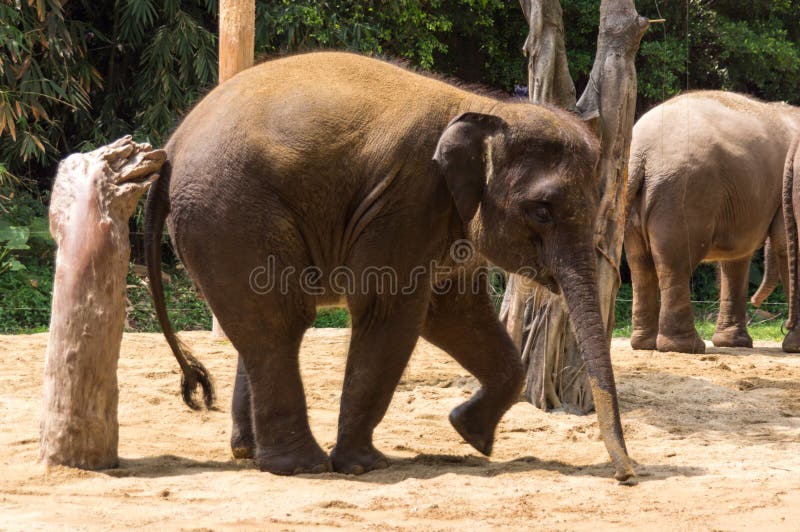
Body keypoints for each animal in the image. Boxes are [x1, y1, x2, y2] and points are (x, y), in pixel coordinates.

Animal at [144, 51, 635, 481]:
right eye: (542, 211)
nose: (627, 474)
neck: (489, 108)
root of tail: (171, 149)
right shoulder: (407, 200)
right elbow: (390, 312)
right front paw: (364, 466)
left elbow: (456, 313)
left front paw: (470, 435)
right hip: (232, 213)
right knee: (279, 320)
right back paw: (302, 466)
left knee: (262, 326)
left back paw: (248, 452)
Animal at [625, 91, 800, 354]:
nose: (756, 302)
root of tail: (640, 153)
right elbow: (783, 246)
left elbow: (737, 257)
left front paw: (733, 343)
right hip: (684, 195)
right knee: (674, 264)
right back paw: (686, 347)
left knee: (640, 265)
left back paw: (645, 344)